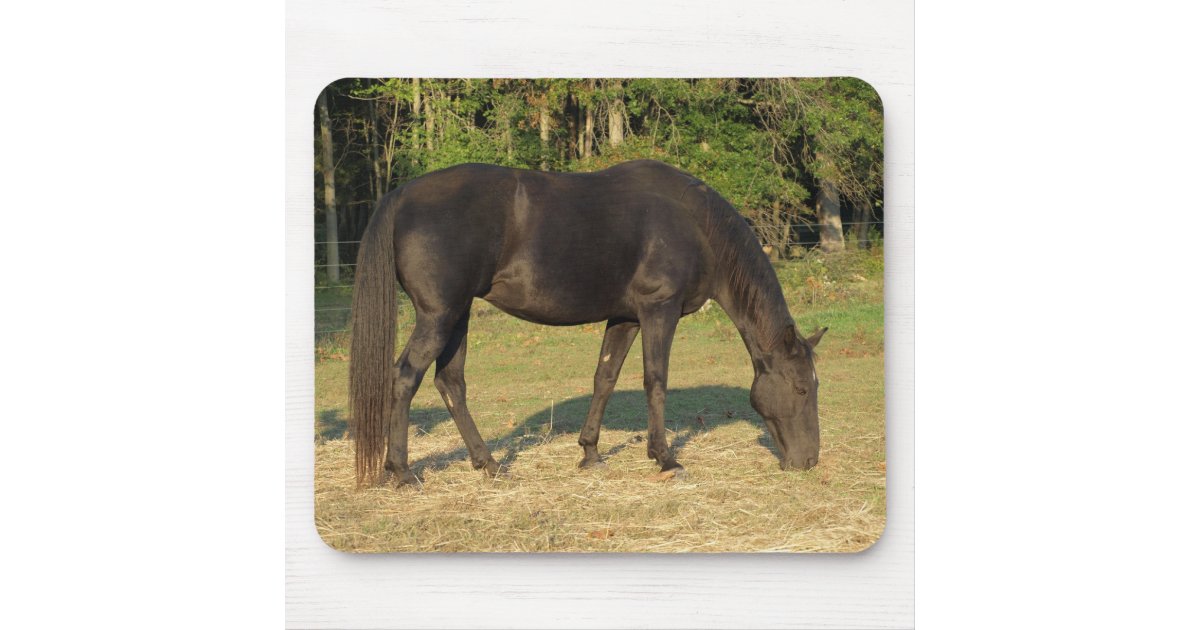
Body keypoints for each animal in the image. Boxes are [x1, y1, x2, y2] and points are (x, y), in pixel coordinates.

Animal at [348, 159, 826, 488]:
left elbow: (605, 378)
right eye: (802, 388)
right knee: (405, 377)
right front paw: (666, 458)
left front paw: (590, 452)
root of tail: (401, 196)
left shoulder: (626, 317)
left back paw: (489, 464)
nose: (809, 461)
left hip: (458, 316)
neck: (695, 223)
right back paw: (402, 471)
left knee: (451, 384)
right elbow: (655, 381)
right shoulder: (659, 310)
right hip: (440, 316)